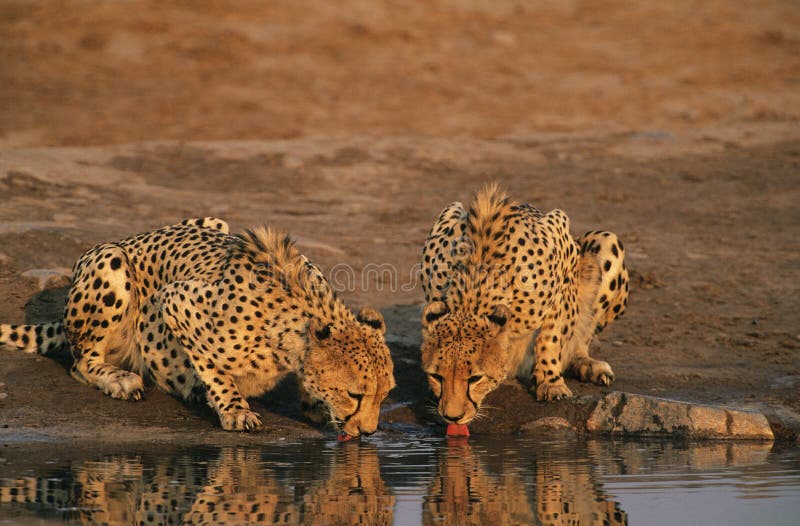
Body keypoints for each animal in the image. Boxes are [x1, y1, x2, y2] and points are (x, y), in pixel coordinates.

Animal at [0, 218, 395, 436]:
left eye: (385, 395)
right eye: (355, 395)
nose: (368, 433)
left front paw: (314, 403)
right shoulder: (176, 301)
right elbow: (214, 369)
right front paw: (234, 410)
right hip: (111, 260)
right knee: (80, 363)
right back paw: (120, 380)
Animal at [420, 184, 628, 426]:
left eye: (475, 378)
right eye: (436, 376)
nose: (452, 417)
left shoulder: (564, 248)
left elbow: (551, 336)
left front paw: (551, 382)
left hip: (607, 242)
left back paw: (585, 363)